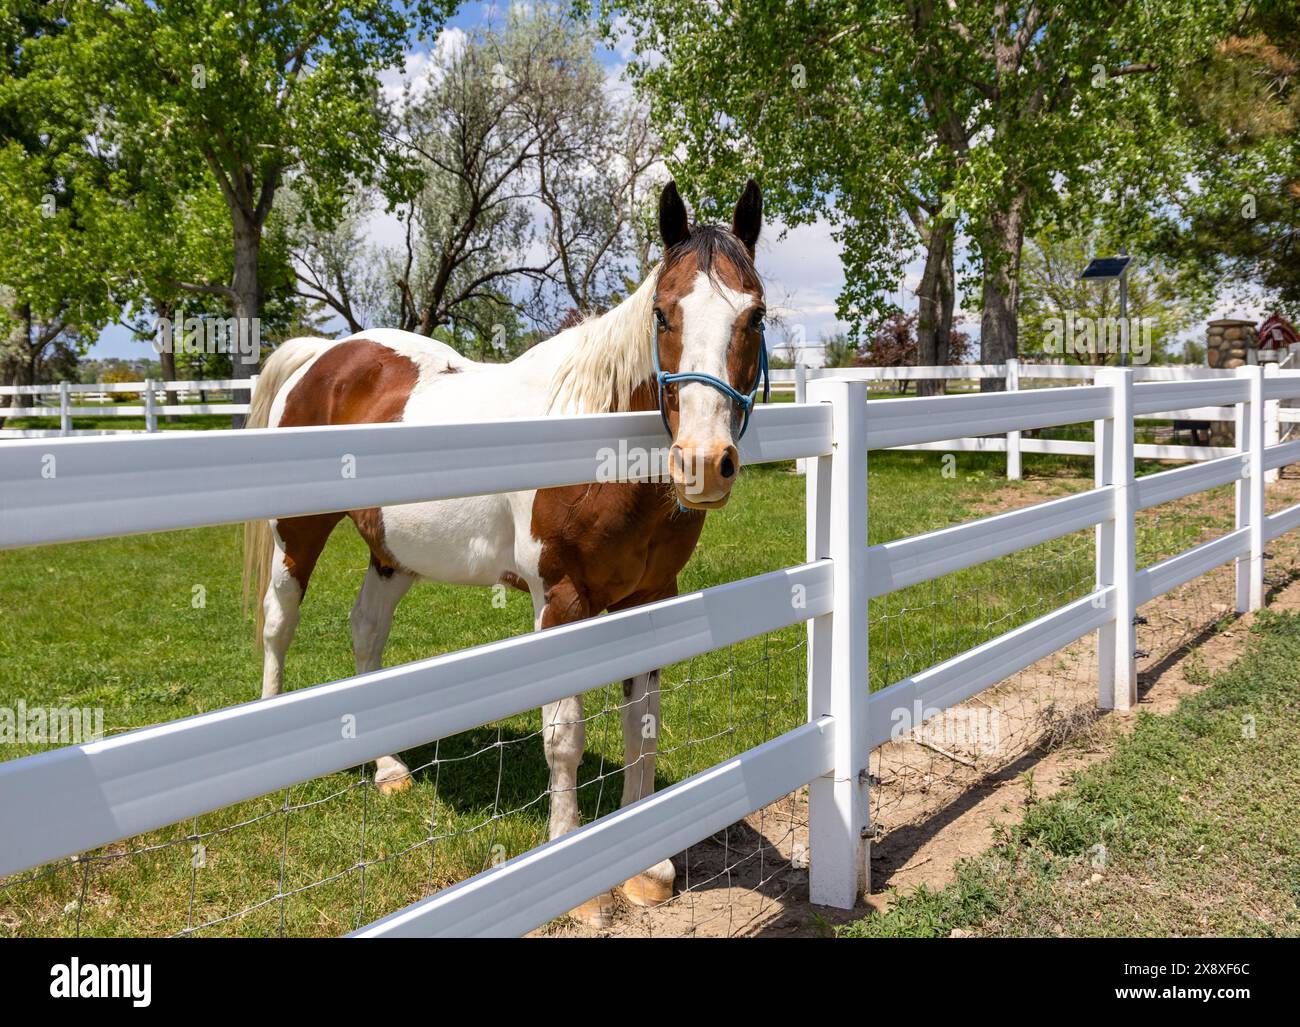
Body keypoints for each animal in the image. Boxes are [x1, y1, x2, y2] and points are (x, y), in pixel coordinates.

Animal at [242, 180, 768, 925]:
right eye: (664, 313)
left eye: (754, 316)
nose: (703, 462)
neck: (596, 441)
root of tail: (325, 357)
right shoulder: (561, 601)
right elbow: (564, 735)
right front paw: (580, 878)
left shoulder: (649, 599)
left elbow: (642, 726)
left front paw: (648, 865)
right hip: (300, 528)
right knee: (279, 619)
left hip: (391, 555)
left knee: (366, 630)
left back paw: (390, 769)